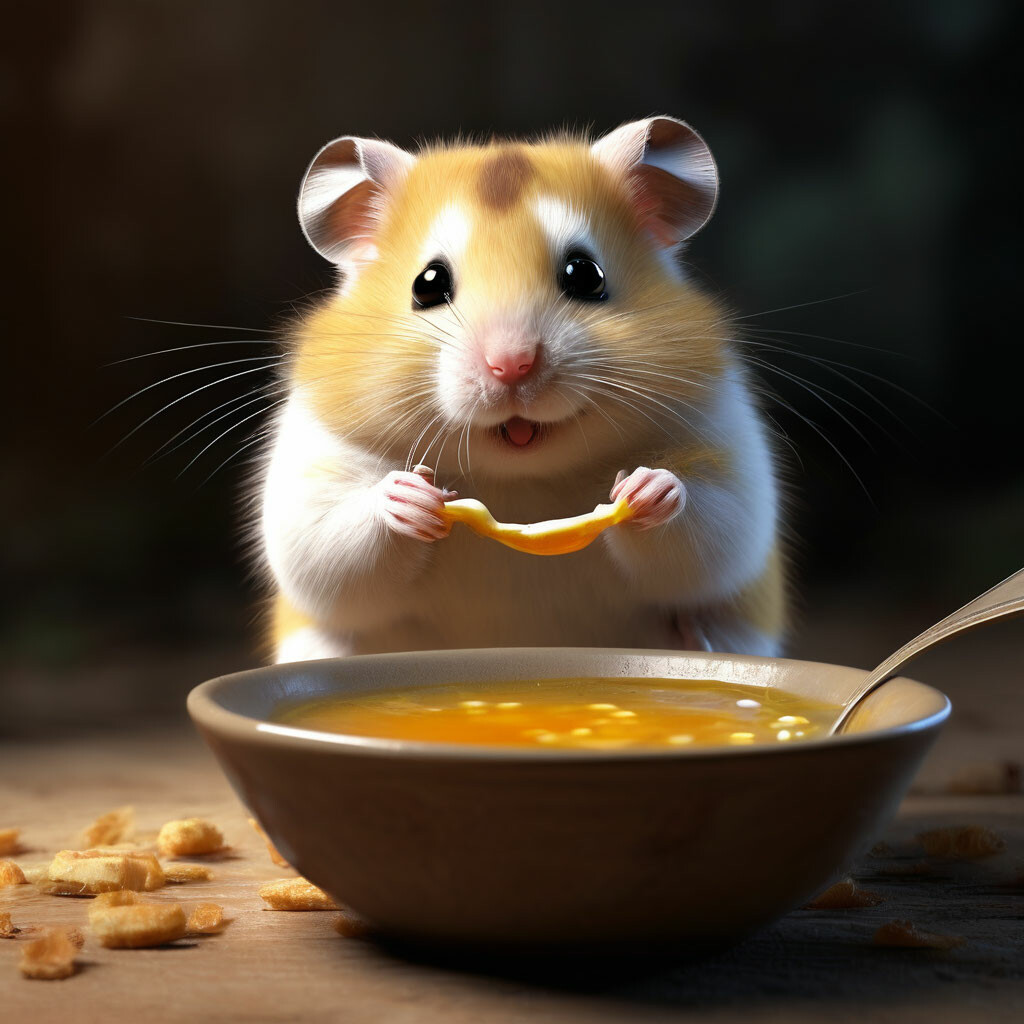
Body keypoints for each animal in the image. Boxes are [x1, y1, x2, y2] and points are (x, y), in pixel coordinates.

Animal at [260, 116, 785, 663]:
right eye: (427, 284)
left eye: (586, 275)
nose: (511, 365)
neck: (520, 475)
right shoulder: (310, 476)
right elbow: (331, 539)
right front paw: (411, 498)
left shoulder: (729, 456)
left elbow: (709, 517)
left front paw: (646, 489)